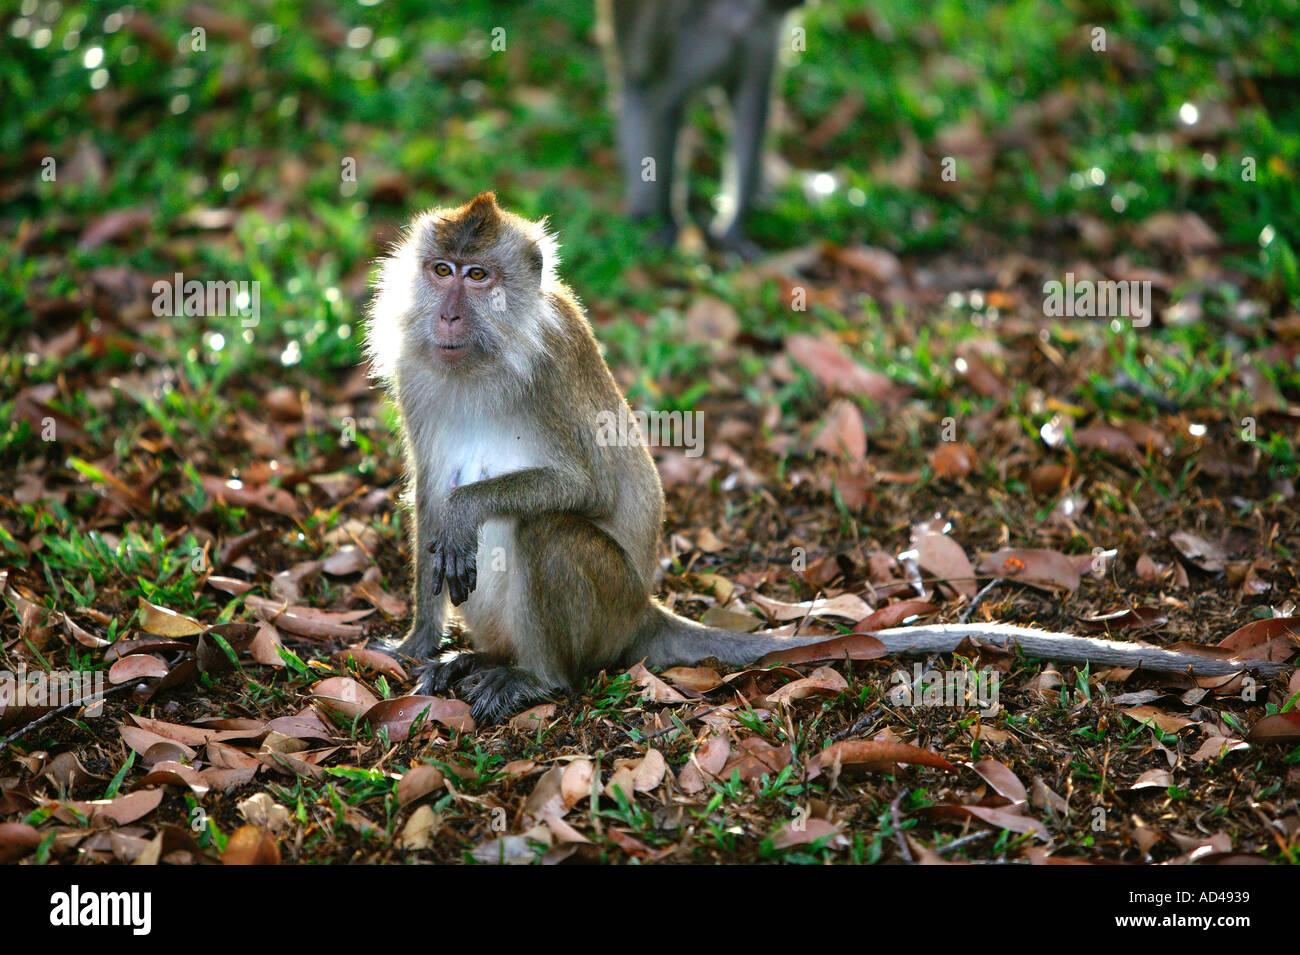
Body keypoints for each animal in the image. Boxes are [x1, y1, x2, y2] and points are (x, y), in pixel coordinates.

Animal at [365, 193, 1289, 723]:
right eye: (440, 267)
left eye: (480, 277)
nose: (448, 311)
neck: (484, 358)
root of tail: (645, 611)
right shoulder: (417, 371)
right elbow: (427, 490)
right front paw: (415, 643)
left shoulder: (552, 363)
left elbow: (579, 487)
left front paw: (467, 516)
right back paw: (481, 657)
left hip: (608, 605)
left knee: (545, 531)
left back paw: (538, 678)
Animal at [598, 0, 804, 259]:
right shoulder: (688, 35)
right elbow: (666, 109)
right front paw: (667, 222)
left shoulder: (758, 36)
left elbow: (751, 109)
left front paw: (733, 229)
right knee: (637, 91)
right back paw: (643, 209)